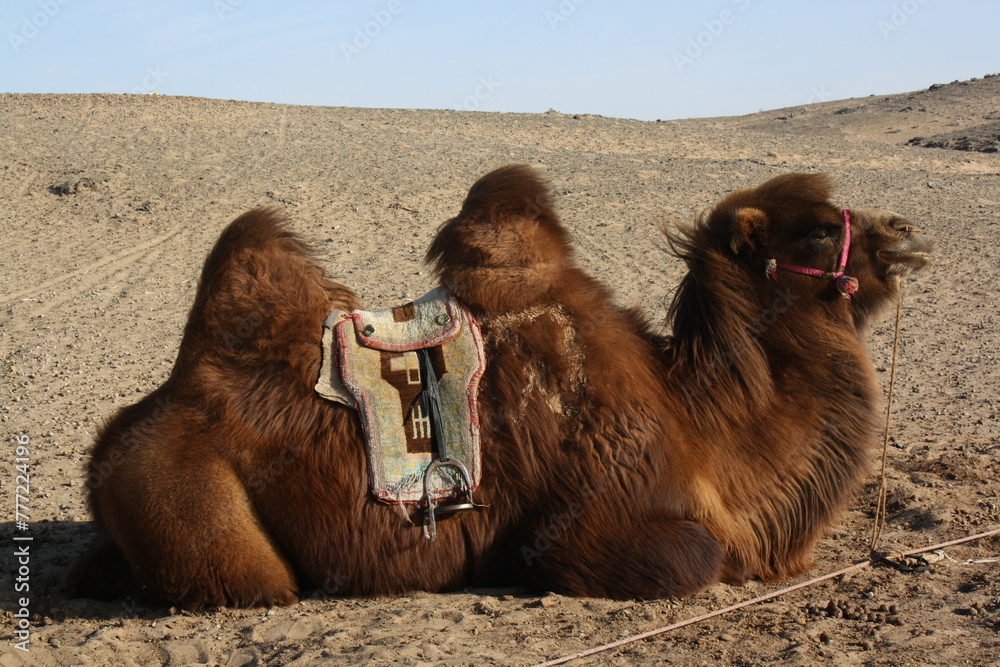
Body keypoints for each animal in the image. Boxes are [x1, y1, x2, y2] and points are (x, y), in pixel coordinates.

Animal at [64, 165, 930, 607]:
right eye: (815, 230)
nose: (906, 230)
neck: (699, 426)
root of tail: (112, 443)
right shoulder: (594, 523)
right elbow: (689, 557)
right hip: (205, 513)